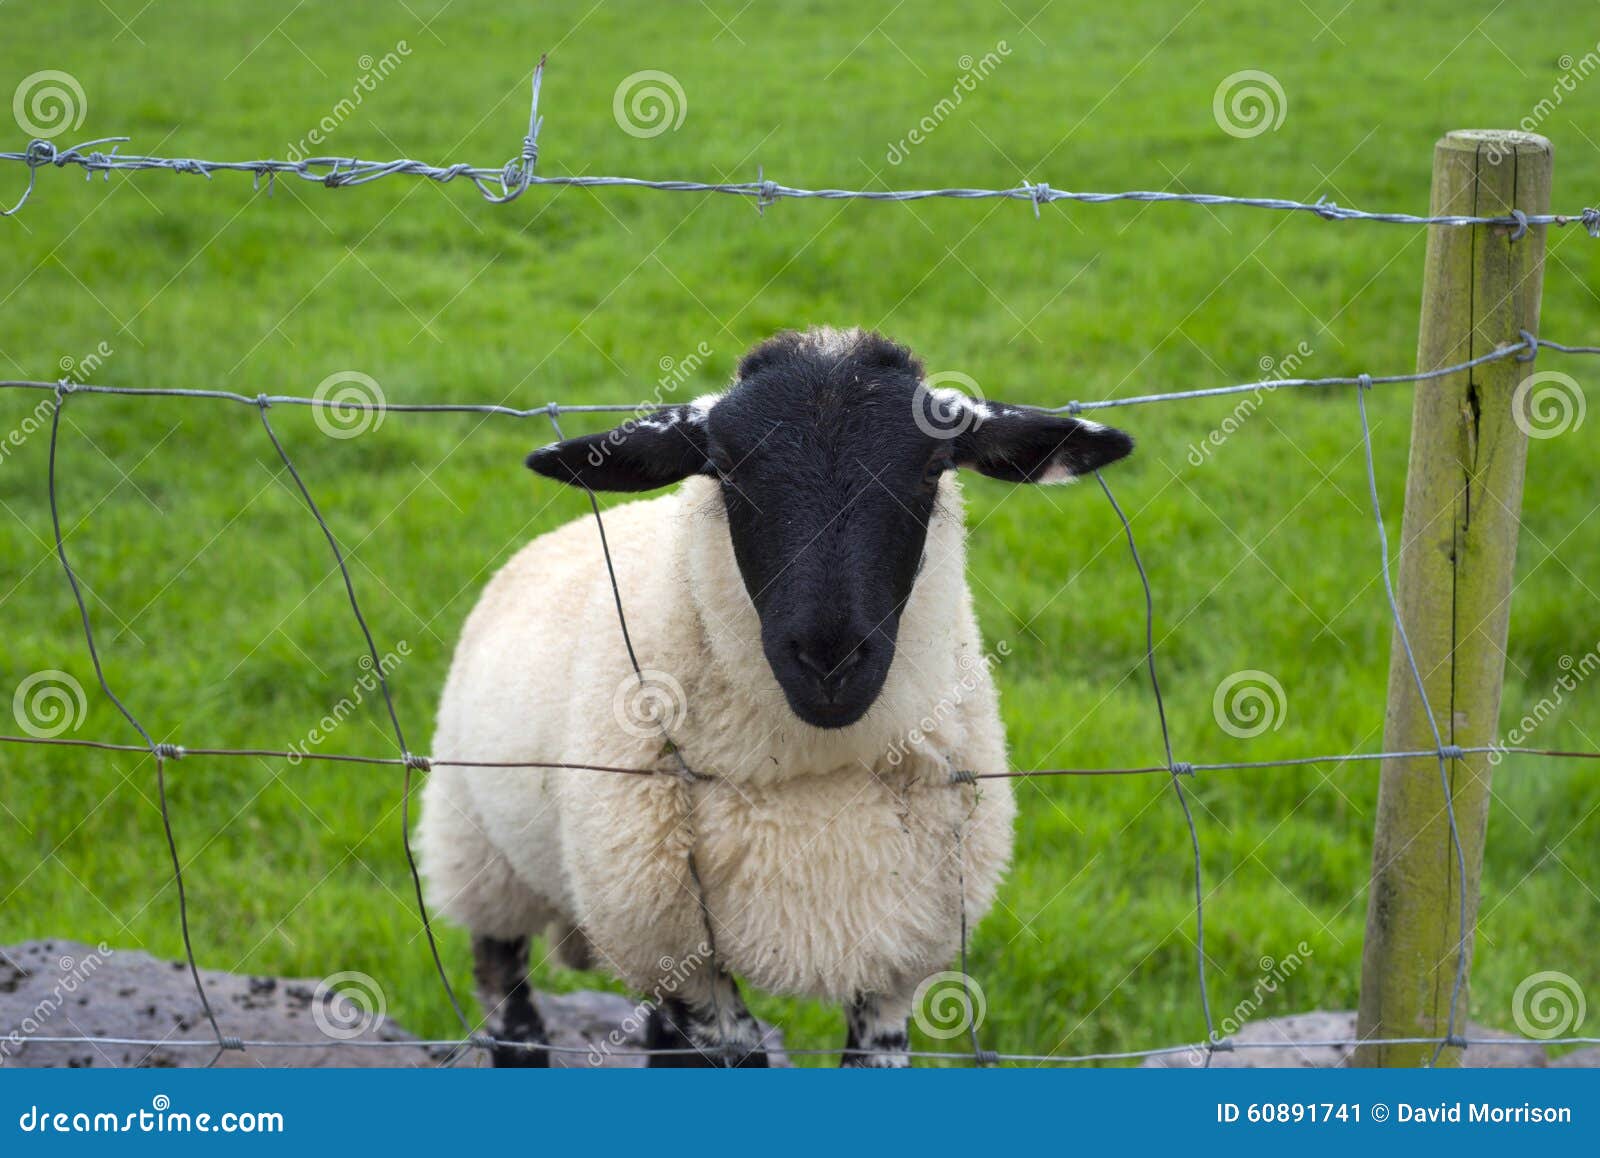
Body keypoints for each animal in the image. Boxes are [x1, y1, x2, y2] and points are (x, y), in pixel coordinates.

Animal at [417, 327, 1134, 1067]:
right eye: (725, 467)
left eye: (934, 467)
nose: (829, 658)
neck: (812, 773)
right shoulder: (678, 948)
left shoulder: (898, 951)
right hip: (481, 859)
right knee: (512, 1008)